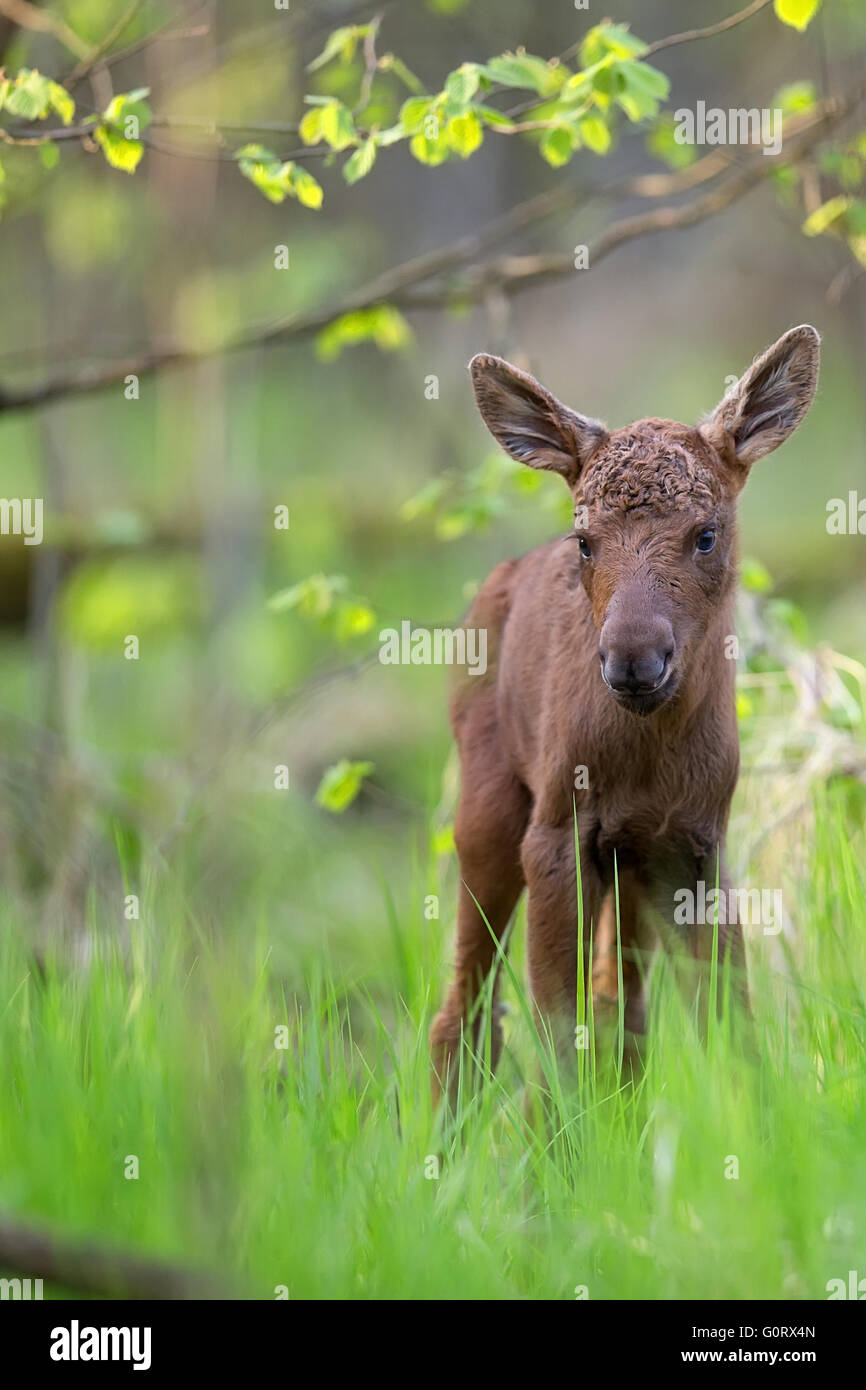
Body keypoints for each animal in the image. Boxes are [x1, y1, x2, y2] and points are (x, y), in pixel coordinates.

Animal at [430, 326, 820, 1102]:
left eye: (706, 533)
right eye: (585, 541)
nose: (634, 660)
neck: (649, 756)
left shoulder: (696, 844)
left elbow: (728, 1020)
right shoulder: (556, 835)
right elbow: (558, 1029)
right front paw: (560, 1134)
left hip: (628, 866)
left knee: (621, 1004)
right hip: (489, 809)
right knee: (467, 1004)